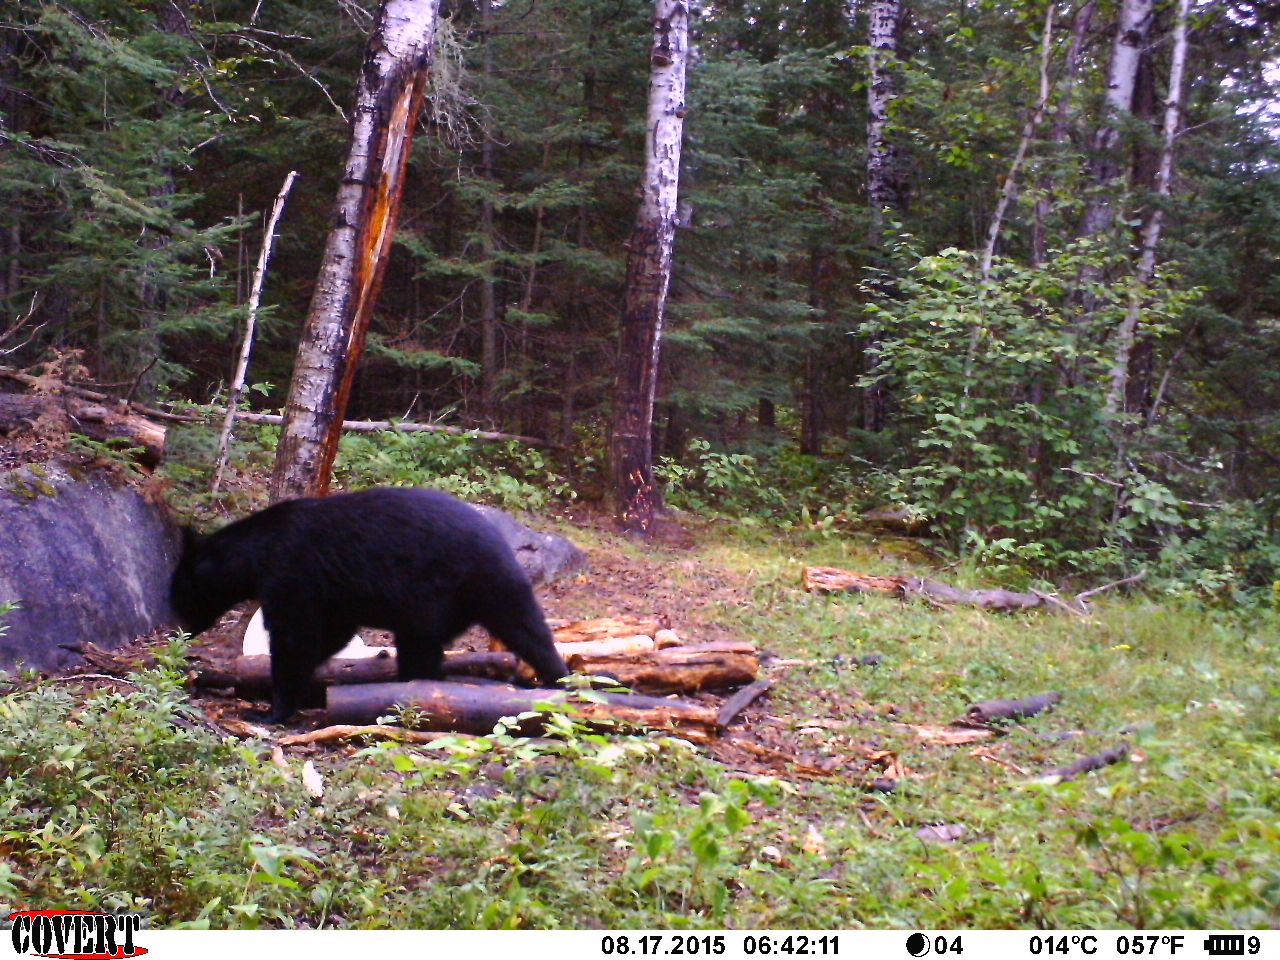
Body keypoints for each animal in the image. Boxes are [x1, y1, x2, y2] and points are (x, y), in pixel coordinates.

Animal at [169, 486, 570, 723]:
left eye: (177, 593)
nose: (177, 630)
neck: (257, 554)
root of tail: (503, 546)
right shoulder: (330, 596)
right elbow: (328, 635)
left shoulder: (291, 577)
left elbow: (296, 640)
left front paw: (270, 711)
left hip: (462, 587)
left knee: (516, 629)